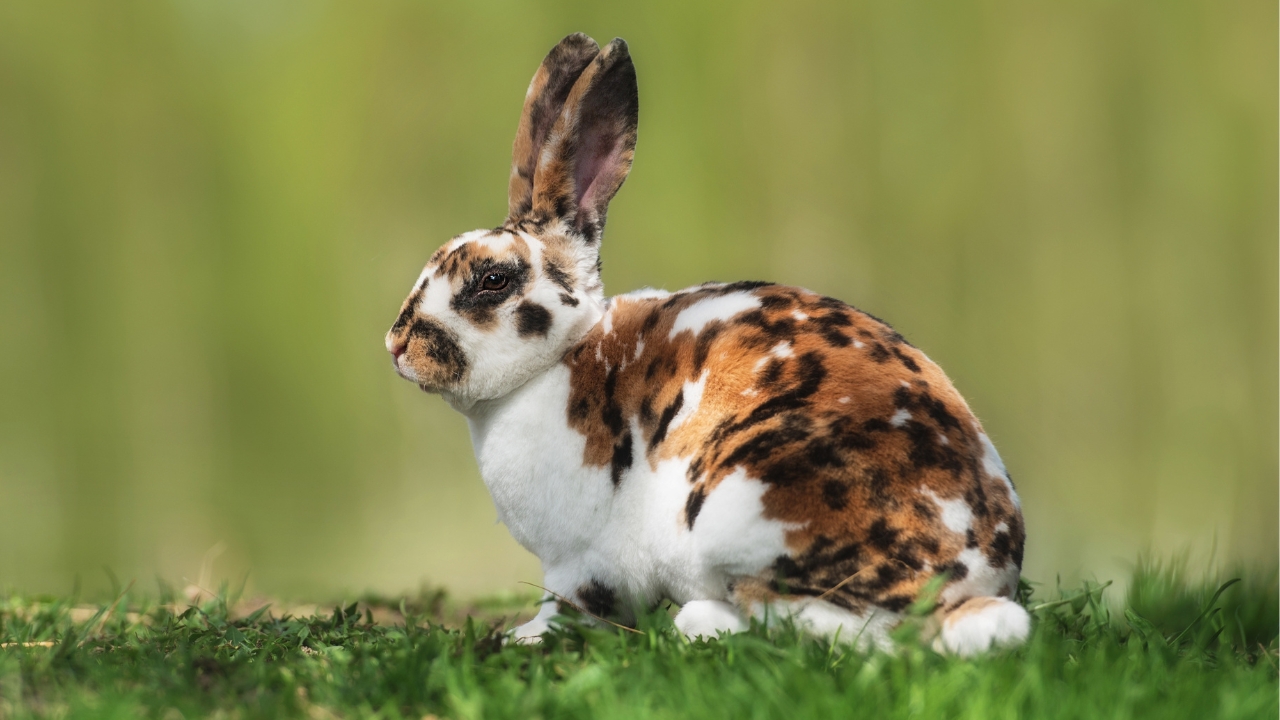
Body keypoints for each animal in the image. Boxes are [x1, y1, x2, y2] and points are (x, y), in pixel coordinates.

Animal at [384, 33, 1028, 656]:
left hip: (746, 513)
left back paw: (699, 621)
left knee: (846, 632)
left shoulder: (581, 563)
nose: (395, 345)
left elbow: (571, 608)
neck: (560, 360)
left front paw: (523, 636)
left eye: (493, 280)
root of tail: (969, 579)